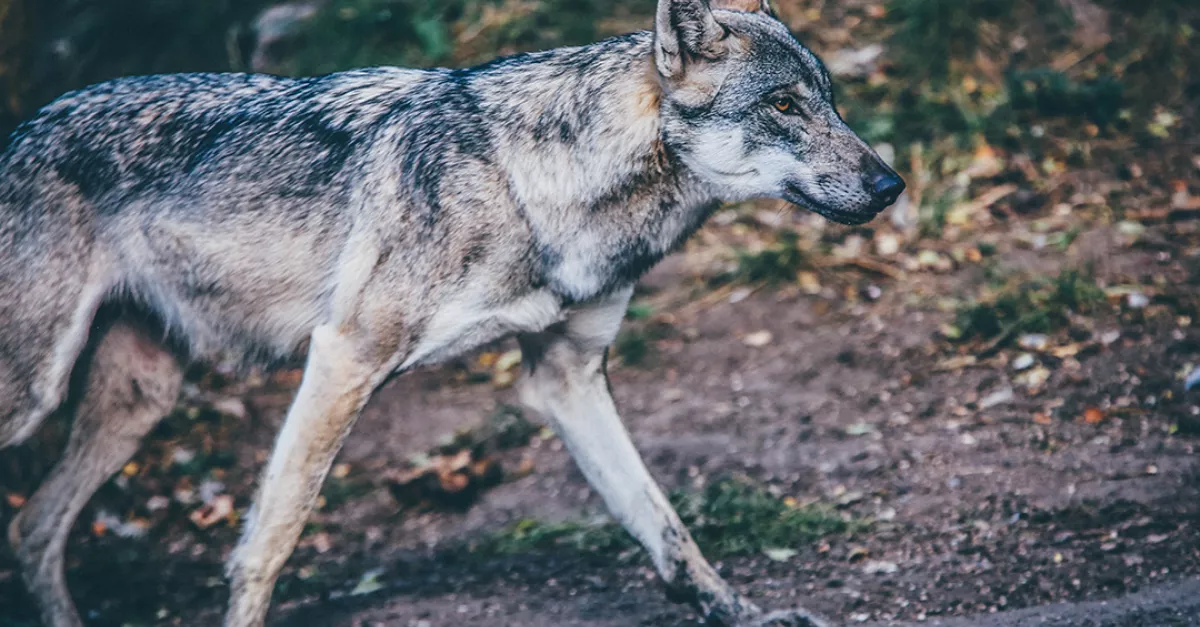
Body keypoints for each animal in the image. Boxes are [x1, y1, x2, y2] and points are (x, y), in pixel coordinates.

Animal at [0, 0, 903, 625]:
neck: (532, 185)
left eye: (829, 100)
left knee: (36, 527)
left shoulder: (568, 377)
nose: (891, 184)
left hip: (138, 403)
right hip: (37, 393)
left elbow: (668, 529)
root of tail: (21, 128)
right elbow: (269, 541)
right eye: (783, 105)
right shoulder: (344, 357)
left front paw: (745, 612)